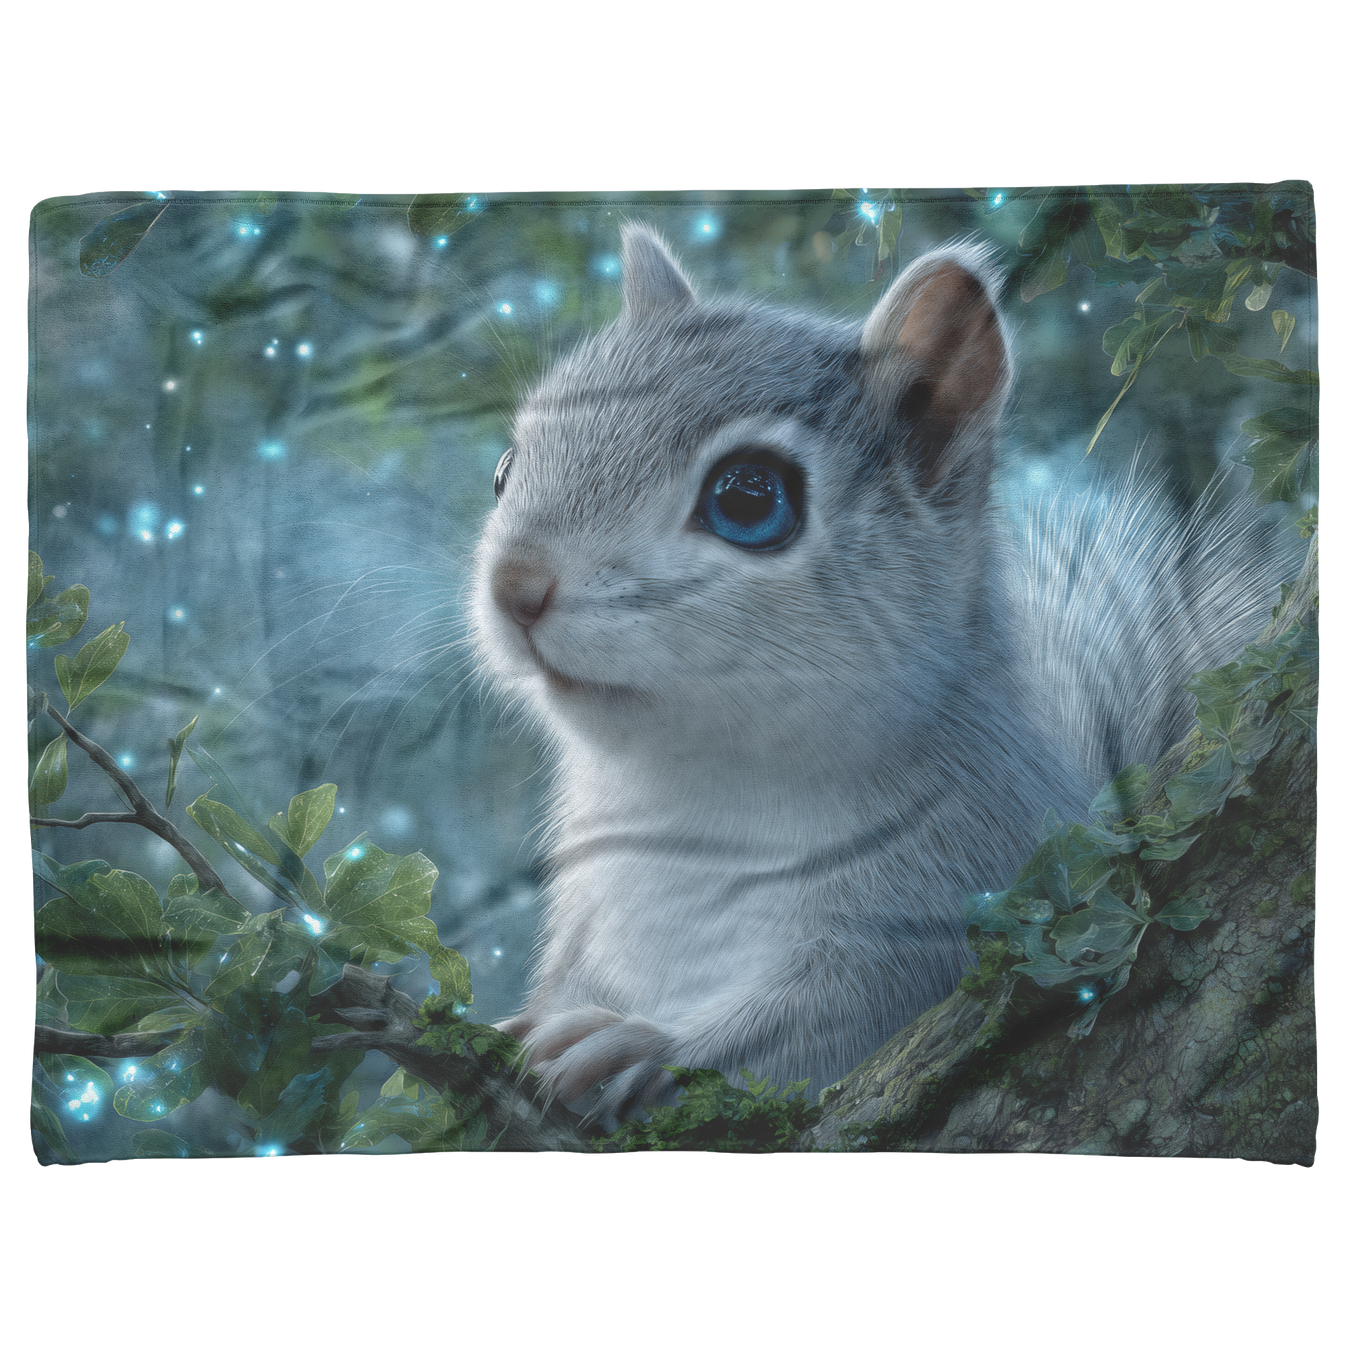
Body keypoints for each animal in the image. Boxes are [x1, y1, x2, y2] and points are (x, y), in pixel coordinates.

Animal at [471, 223, 1279, 1126]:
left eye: (747, 498)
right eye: (505, 467)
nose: (515, 587)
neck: (691, 783)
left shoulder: (959, 892)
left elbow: (836, 1023)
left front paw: (644, 1047)